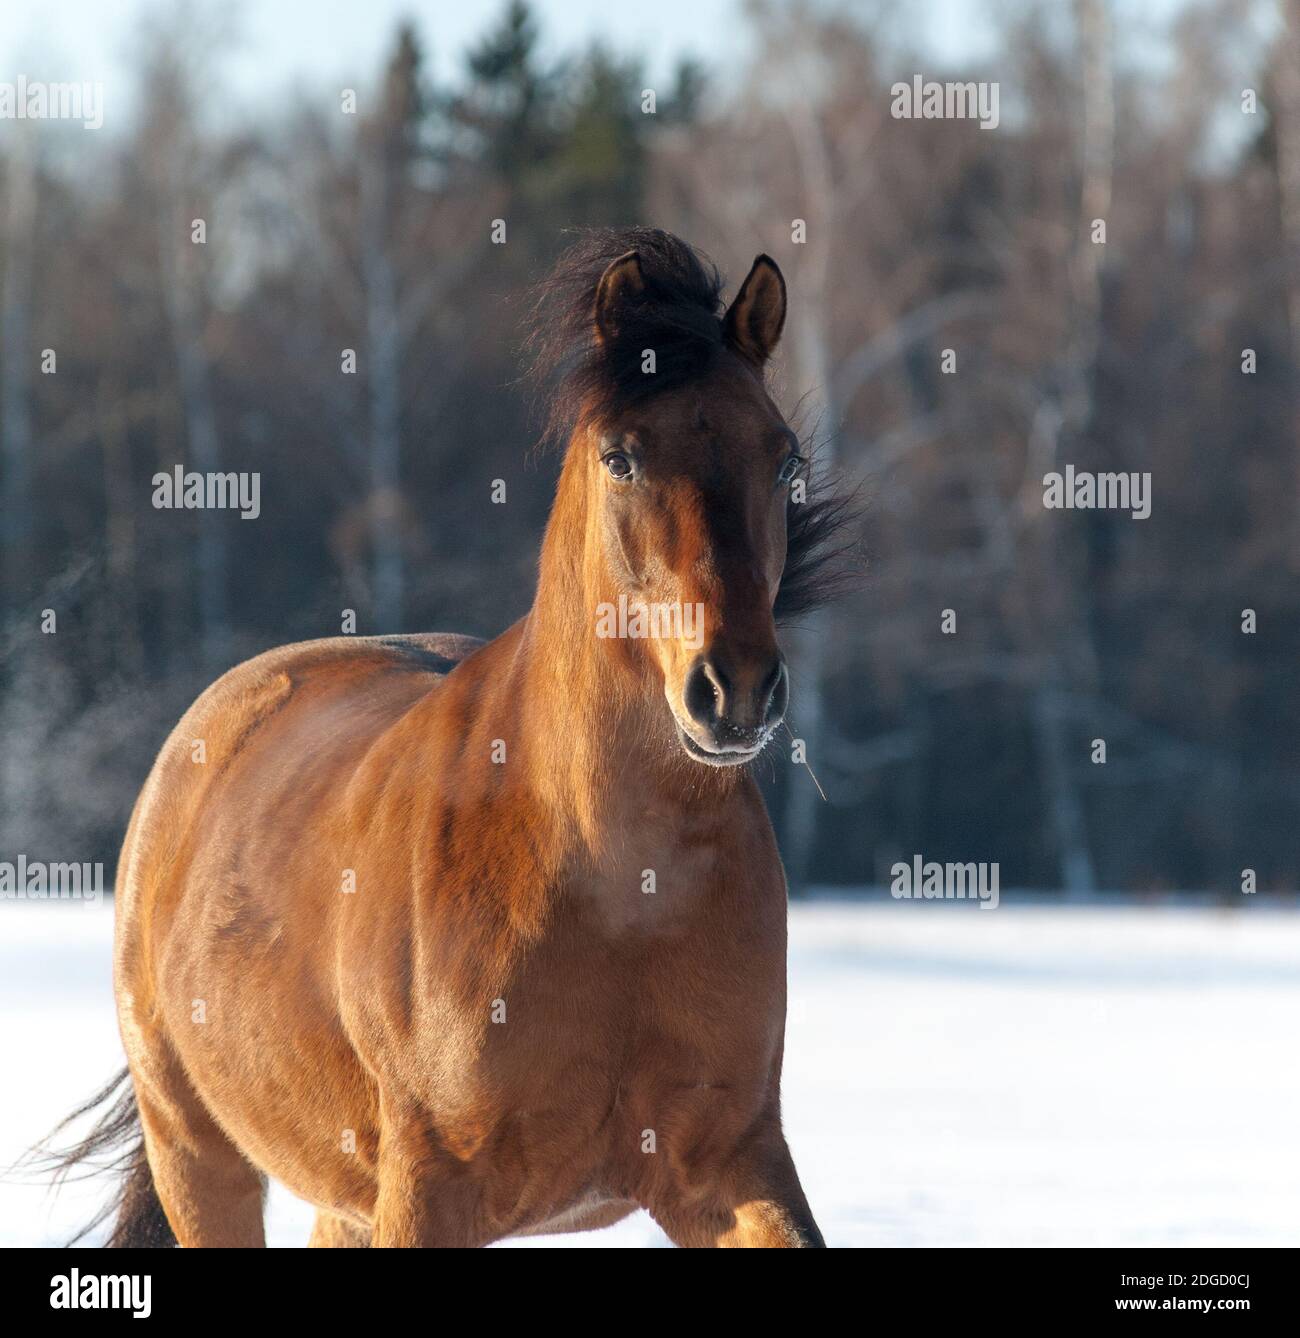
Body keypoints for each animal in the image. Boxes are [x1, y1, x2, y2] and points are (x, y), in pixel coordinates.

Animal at [41, 228, 855, 1247]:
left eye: (784, 460)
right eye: (621, 457)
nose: (735, 688)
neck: (618, 887)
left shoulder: (731, 1161)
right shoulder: (432, 1186)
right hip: (197, 1153)